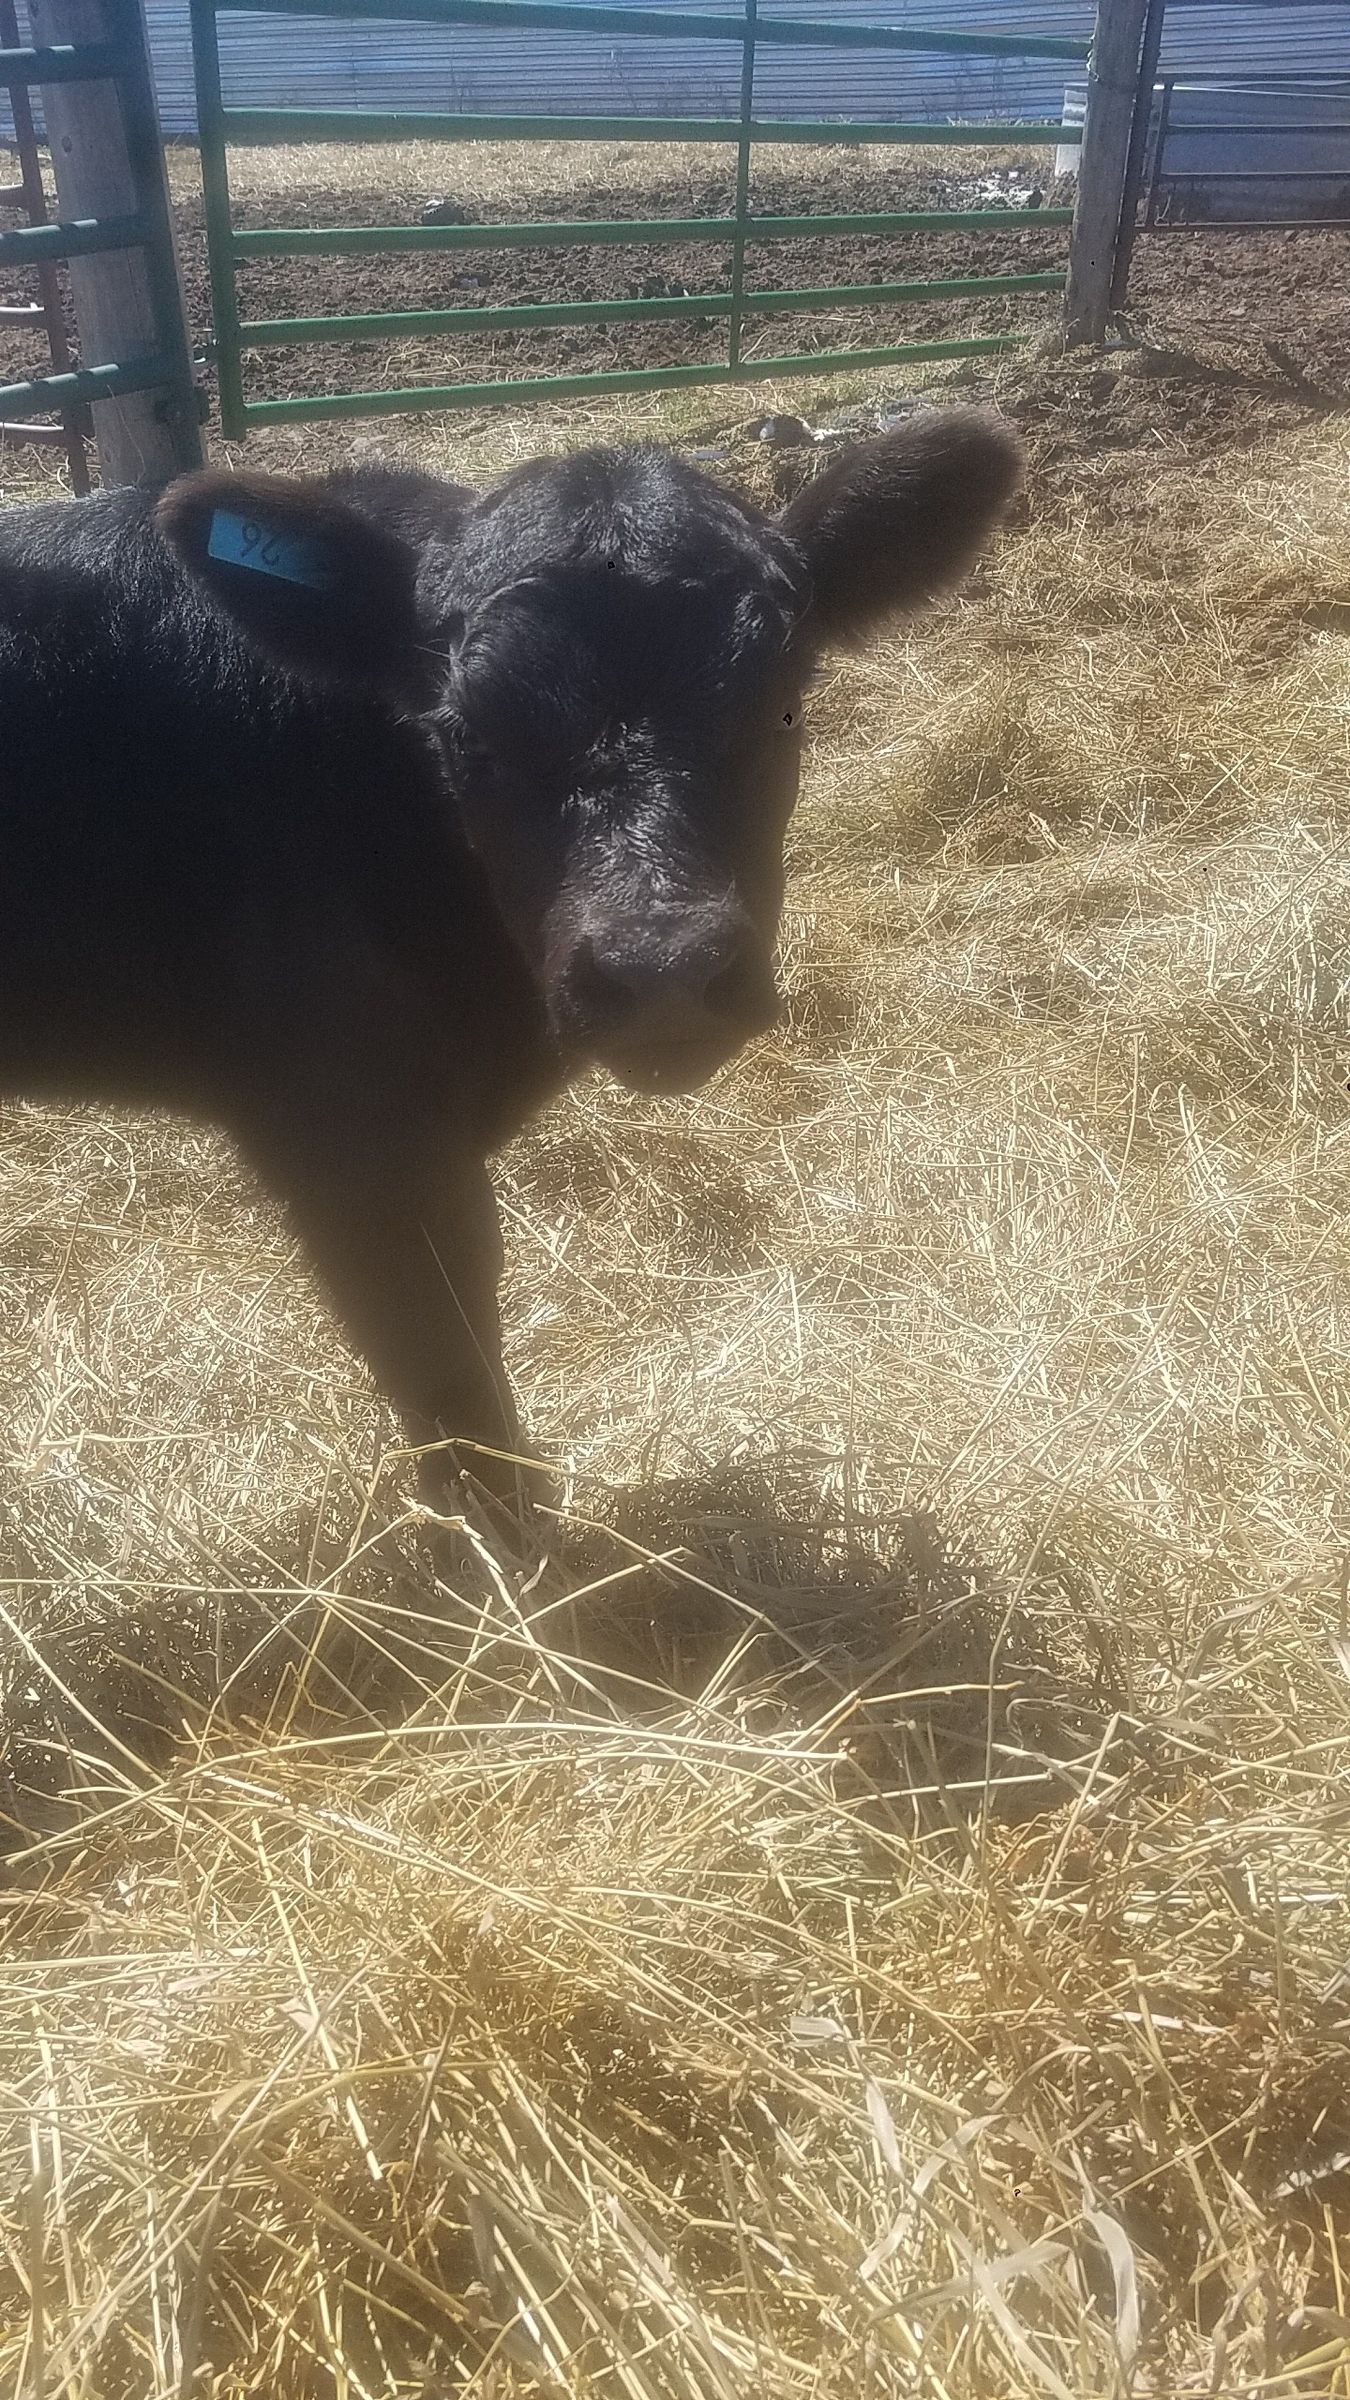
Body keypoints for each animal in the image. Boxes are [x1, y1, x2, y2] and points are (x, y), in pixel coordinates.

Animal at [0, 411, 1021, 1505]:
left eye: (782, 704)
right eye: (468, 733)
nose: (662, 973)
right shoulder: (349, 1132)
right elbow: (444, 1362)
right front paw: (512, 1535)